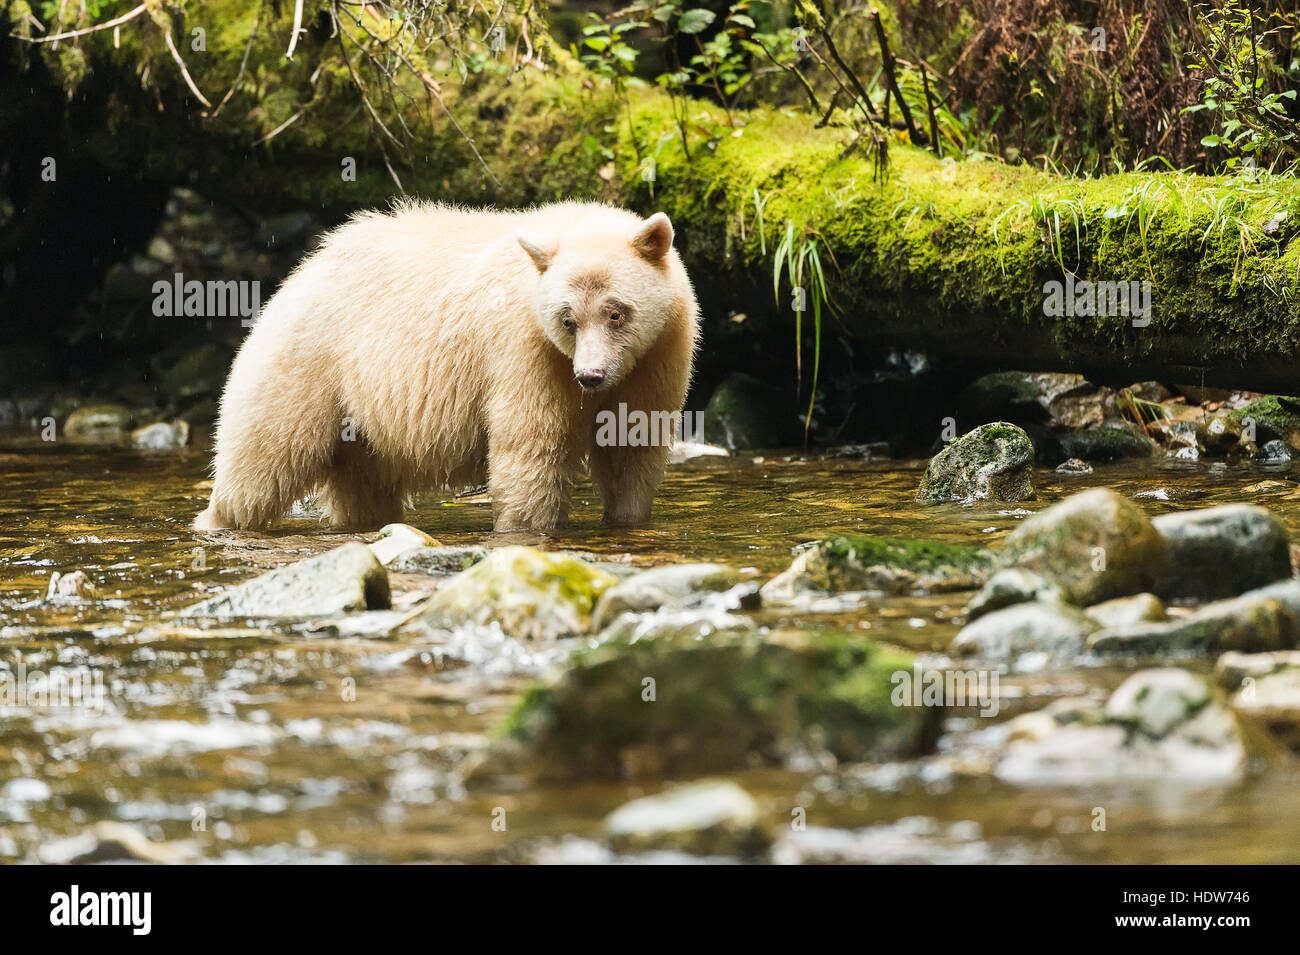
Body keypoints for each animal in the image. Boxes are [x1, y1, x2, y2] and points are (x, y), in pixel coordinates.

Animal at [193, 200, 700, 533]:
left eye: (616, 312)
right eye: (567, 318)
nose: (590, 376)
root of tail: (298, 274)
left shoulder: (658, 357)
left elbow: (631, 447)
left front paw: (627, 516)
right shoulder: (528, 352)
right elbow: (530, 446)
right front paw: (526, 526)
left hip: (359, 423)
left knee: (361, 484)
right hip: (307, 364)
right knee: (260, 463)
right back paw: (216, 520)